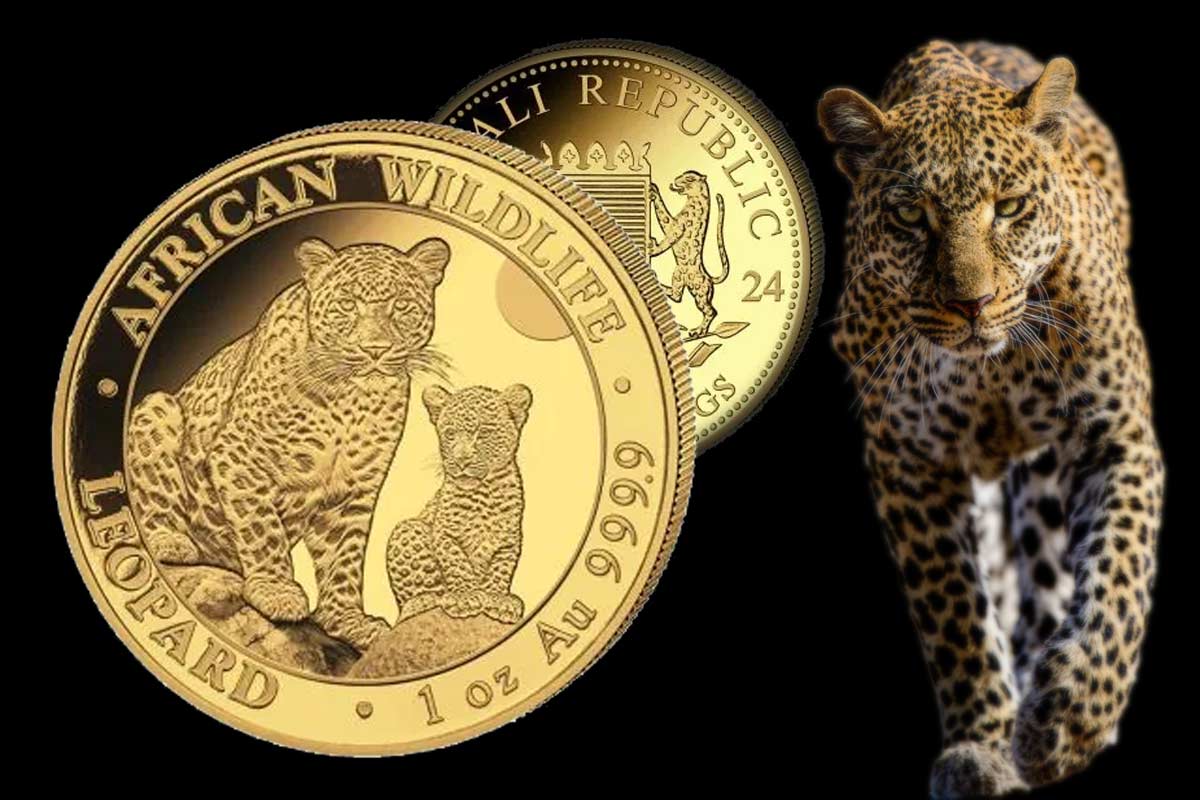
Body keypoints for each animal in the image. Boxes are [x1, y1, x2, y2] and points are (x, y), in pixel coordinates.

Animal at [126, 236, 451, 653]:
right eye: (347, 304)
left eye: (402, 306)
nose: (375, 349)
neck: (352, 398)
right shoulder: (239, 456)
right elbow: (262, 528)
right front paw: (277, 590)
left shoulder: (353, 490)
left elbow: (345, 557)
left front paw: (347, 620)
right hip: (158, 408)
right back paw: (169, 540)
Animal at [386, 383, 532, 625]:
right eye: (450, 433)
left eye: (484, 433)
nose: (461, 460)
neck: (483, 494)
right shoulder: (444, 532)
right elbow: (456, 560)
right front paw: (464, 597)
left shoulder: (509, 539)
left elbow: (501, 566)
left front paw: (497, 598)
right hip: (408, 528)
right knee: (414, 600)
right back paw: (426, 600)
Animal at [648, 170, 731, 338]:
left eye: (689, 178)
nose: (675, 180)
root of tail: (709, 278)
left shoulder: (676, 226)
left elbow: (664, 220)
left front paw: (652, 248)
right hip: (678, 276)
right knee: (676, 295)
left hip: (697, 291)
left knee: (710, 311)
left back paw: (698, 331)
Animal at [818, 41, 1162, 797]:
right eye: (911, 217)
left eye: (1009, 208)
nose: (971, 304)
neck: (991, 368)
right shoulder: (908, 461)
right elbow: (956, 613)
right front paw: (981, 744)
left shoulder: (1114, 436)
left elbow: (1118, 579)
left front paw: (1070, 720)